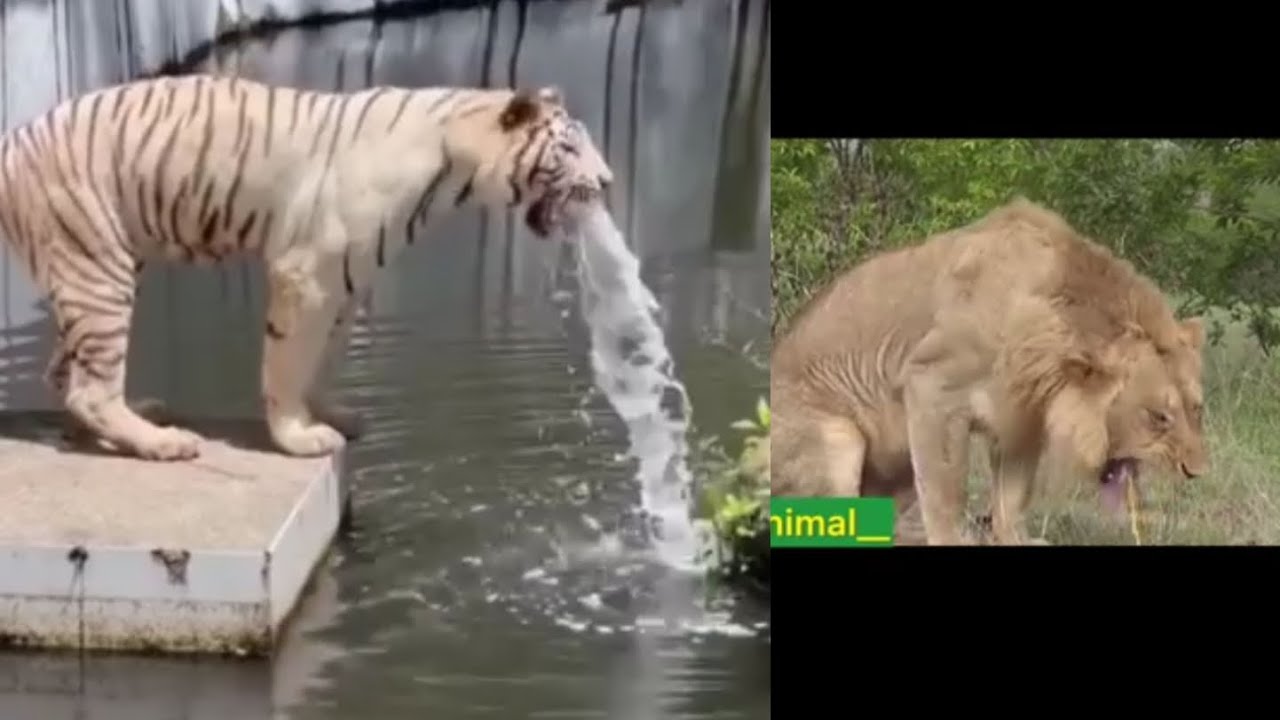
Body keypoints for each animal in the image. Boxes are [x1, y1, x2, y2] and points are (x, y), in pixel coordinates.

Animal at [0, 72, 614, 461]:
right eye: (569, 150)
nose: (608, 182)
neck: (452, 167)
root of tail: (15, 138)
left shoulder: (349, 278)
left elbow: (324, 356)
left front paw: (333, 415)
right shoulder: (307, 273)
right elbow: (288, 361)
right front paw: (298, 436)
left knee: (67, 375)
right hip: (97, 265)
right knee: (89, 386)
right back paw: (162, 442)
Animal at [770, 198, 1209, 545]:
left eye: (1197, 409)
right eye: (1158, 417)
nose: (1196, 472)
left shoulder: (1022, 418)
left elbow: (1011, 498)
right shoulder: (931, 388)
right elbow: (946, 496)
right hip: (838, 443)